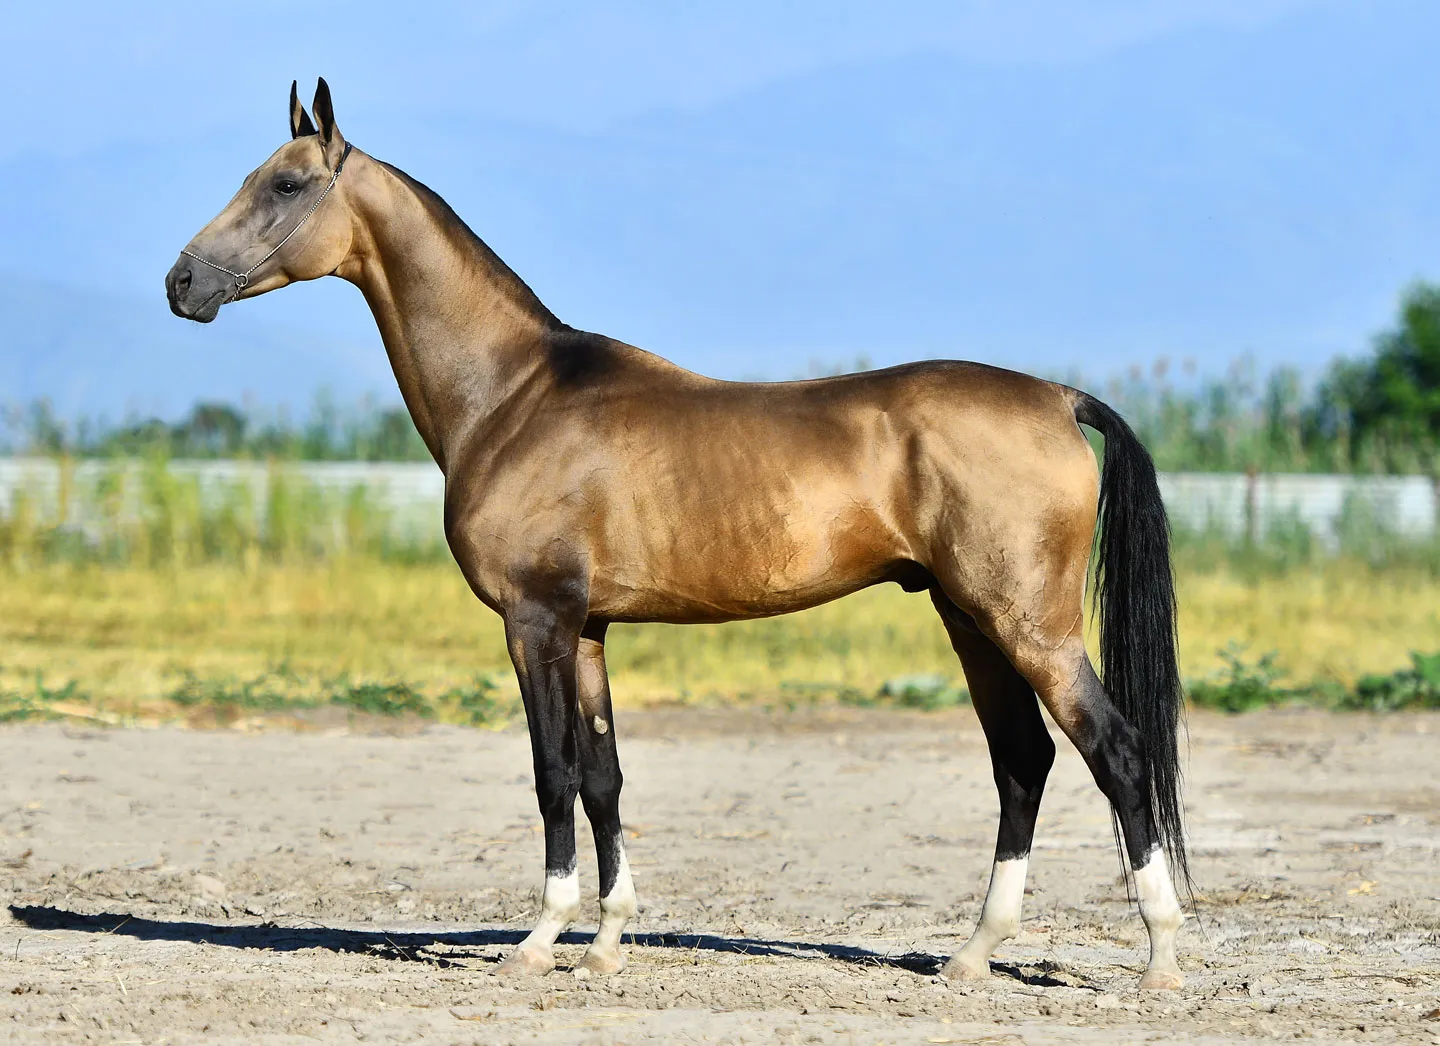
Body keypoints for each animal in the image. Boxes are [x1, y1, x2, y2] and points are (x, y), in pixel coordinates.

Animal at [165, 79, 1189, 990]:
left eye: (285, 184)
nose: (182, 282)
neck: (514, 395)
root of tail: (1057, 398)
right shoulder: (586, 630)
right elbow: (604, 777)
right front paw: (608, 942)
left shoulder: (535, 622)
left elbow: (551, 772)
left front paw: (539, 942)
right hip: (968, 618)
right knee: (1023, 762)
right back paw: (973, 955)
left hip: (1029, 627)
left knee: (1116, 753)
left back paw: (1159, 958)